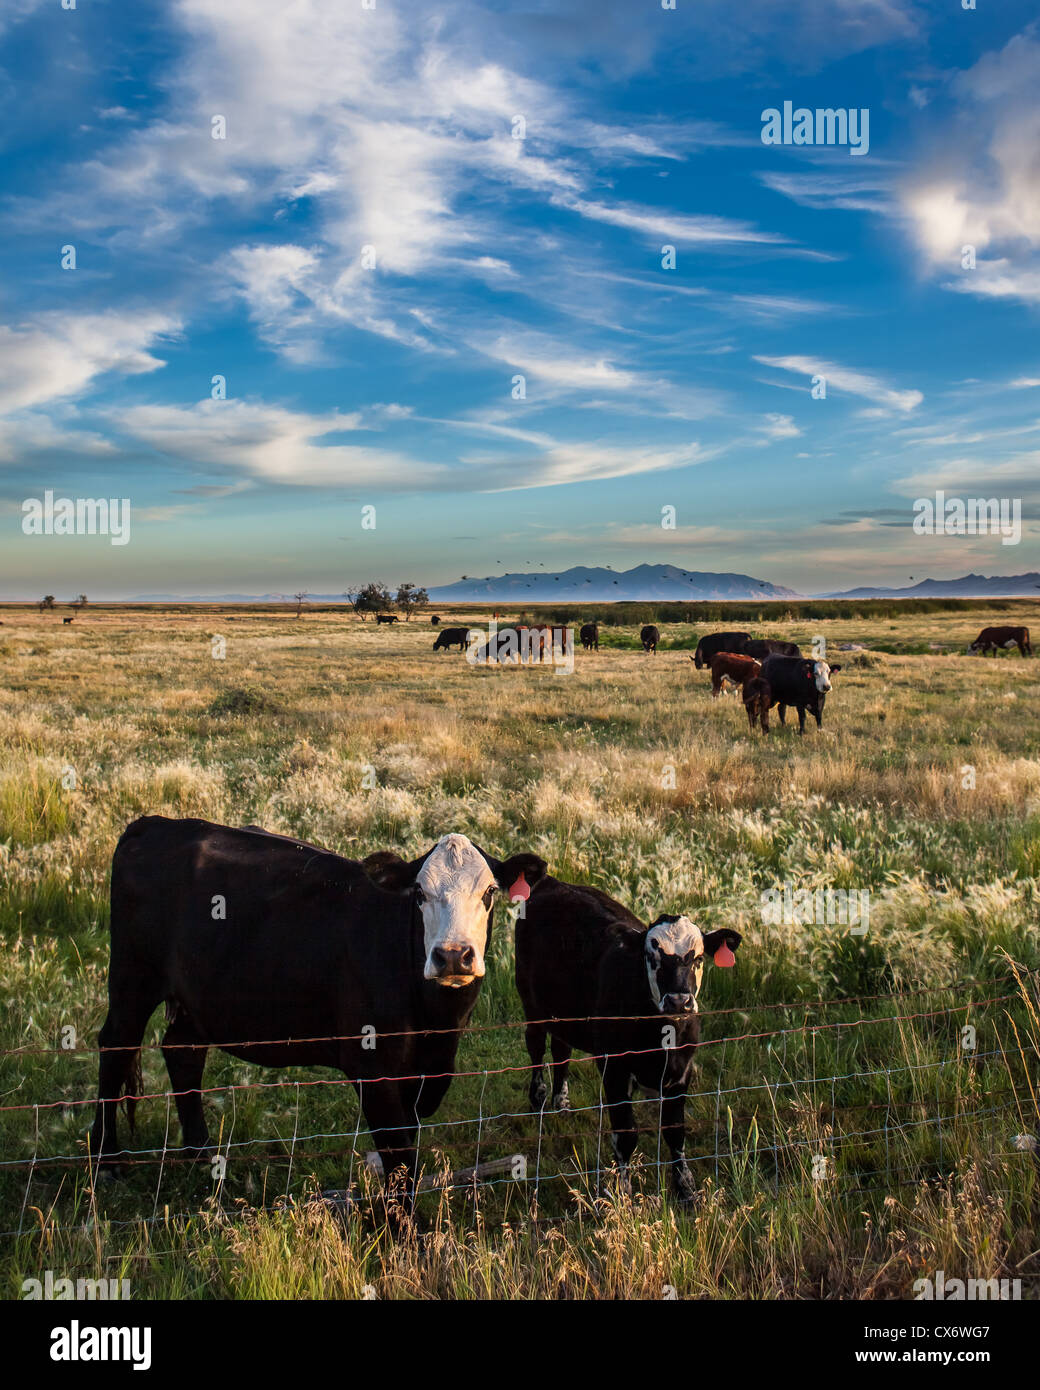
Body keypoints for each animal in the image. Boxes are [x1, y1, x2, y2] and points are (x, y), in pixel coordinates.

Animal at [89, 817, 547, 1213]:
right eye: (419, 893)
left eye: (489, 892)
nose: (452, 955)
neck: (436, 1022)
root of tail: (156, 823)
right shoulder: (372, 1068)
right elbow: (397, 1156)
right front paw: (404, 1238)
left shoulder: (423, 1073)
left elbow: (408, 1155)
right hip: (133, 979)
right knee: (115, 1047)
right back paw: (107, 1160)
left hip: (198, 996)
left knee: (182, 1052)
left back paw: (202, 1154)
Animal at [516, 876, 742, 1203]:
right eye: (651, 956)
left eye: (699, 958)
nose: (679, 1001)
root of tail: (551, 881)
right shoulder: (614, 1069)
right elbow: (625, 1136)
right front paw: (622, 1195)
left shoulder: (682, 1071)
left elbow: (675, 1131)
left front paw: (686, 1189)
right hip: (532, 1003)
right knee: (535, 1046)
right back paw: (539, 1100)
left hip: (564, 1014)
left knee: (561, 1050)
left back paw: (562, 1104)